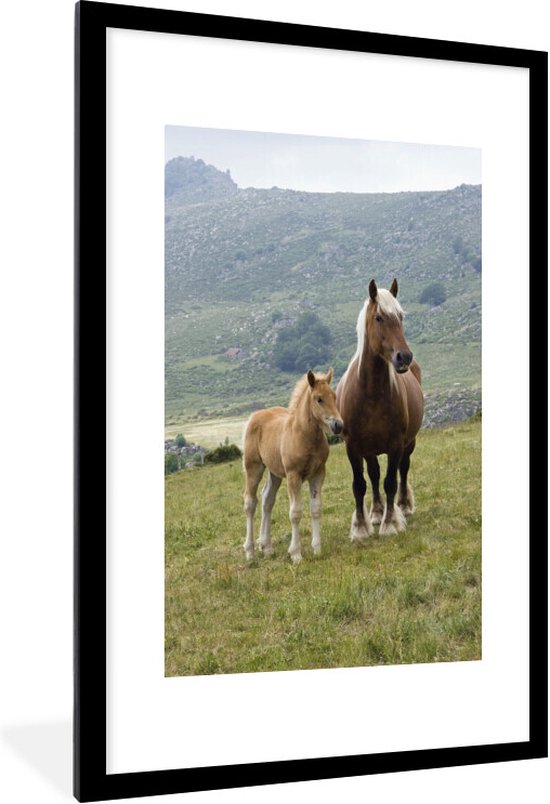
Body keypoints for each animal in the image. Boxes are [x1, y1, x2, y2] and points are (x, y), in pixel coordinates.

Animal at [242, 368, 343, 563]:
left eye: (334, 396)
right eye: (319, 399)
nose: (338, 425)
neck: (304, 435)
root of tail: (254, 416)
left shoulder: (319, 473)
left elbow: (316, 508)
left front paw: (317, 549)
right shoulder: (293, 475)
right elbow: (295, 512)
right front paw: (296, 553)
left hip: (274, 472)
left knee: (267, 499)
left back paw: (266, 547)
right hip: (253, 468)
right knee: (250, 502)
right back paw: (250, 552)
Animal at [336, 279, 423, 540]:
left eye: (401, 316)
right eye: (378, 317)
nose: (404, 357)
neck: (371, 393)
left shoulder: (396, 444)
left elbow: (390, 482)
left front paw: (390, 523)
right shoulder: (353, 446)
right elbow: (360, 484)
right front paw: (361, 527)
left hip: (409, 443)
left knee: (403, 470)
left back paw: (403, 505)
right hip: (369, 449)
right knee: (373, 476)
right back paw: (375, 512)